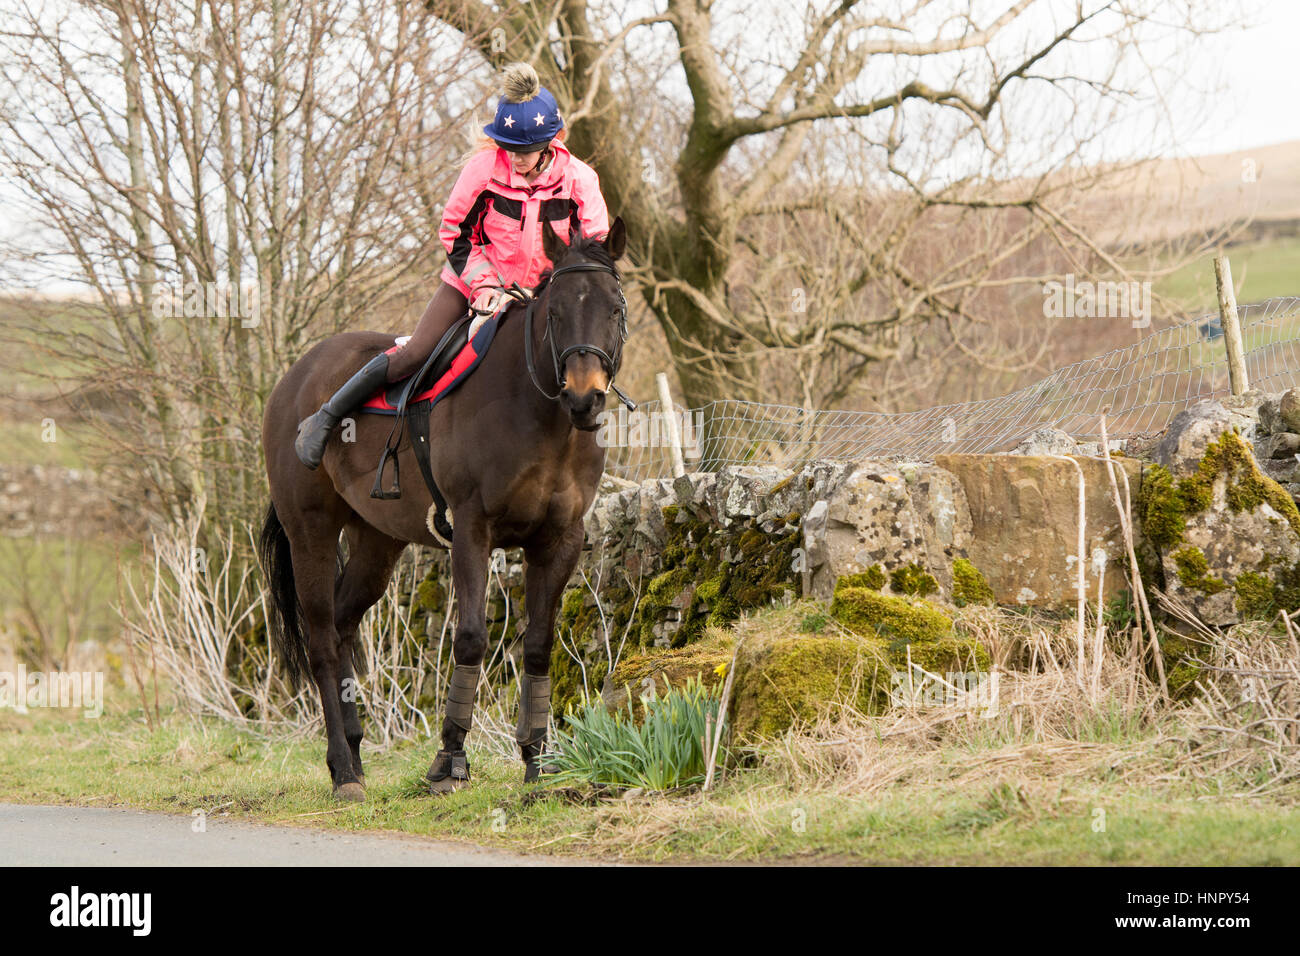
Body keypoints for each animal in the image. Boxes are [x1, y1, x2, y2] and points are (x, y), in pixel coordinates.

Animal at [258, 218, 628, 801]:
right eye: (556, 313)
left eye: (614, 308)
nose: (584, 398)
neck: (541, 415)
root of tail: (295, 379)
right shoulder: (473, 531)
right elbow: (472, 639)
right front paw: (450, 759)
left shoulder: (559, 540)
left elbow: (539, 645)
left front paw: (537, 762)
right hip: (310, 533)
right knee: (321, 641)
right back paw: (343, 771)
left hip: (376, 541)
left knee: (342, 623)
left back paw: (355, 754)